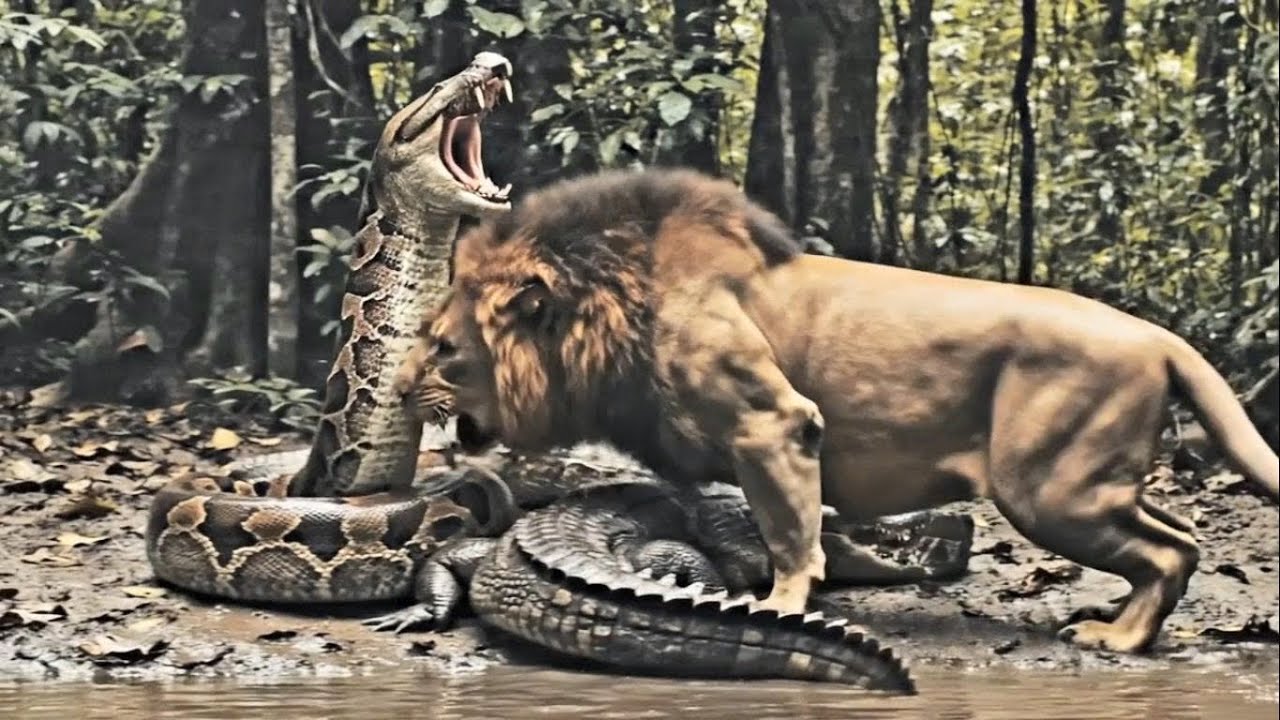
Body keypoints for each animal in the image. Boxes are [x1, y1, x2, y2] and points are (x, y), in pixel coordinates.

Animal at [411, 168, 1279, 654]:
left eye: (445, 348)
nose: (398, 389)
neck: (613, 305)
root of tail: (1159, 336)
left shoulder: (775, 425)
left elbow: (790, 535)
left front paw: (779, 607)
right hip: (1090, 487)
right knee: (1184, 535)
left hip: (1048, 490)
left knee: (1169, 551)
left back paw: (1118, 640)